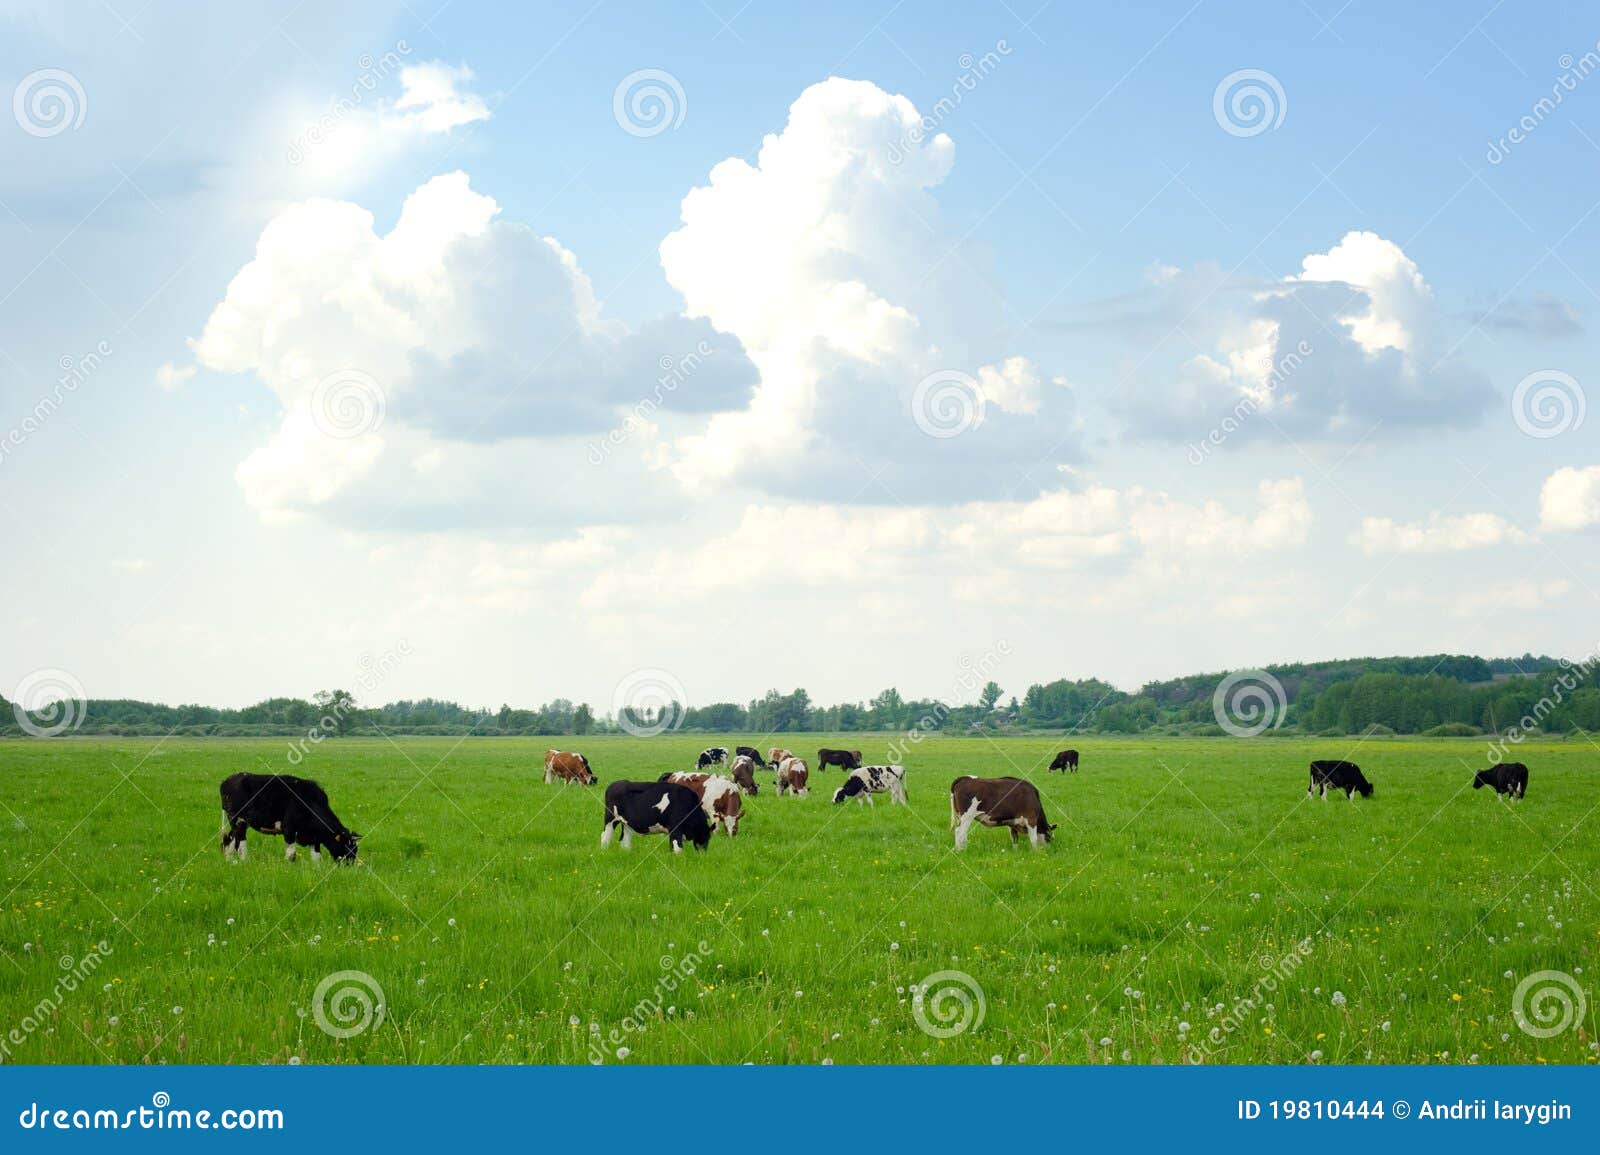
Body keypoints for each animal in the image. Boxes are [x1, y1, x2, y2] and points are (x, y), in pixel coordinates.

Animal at [219, 772, 360, 863]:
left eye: (355, 850)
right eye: (347, 848)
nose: (350, 865)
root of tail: (227, 780)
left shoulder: (314, 837)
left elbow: (316, 857)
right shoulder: (289, 829)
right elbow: (291, 854)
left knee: (229, 841)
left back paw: (229, 861)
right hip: (238, 820)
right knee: (240, 844)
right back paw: (245, 861)